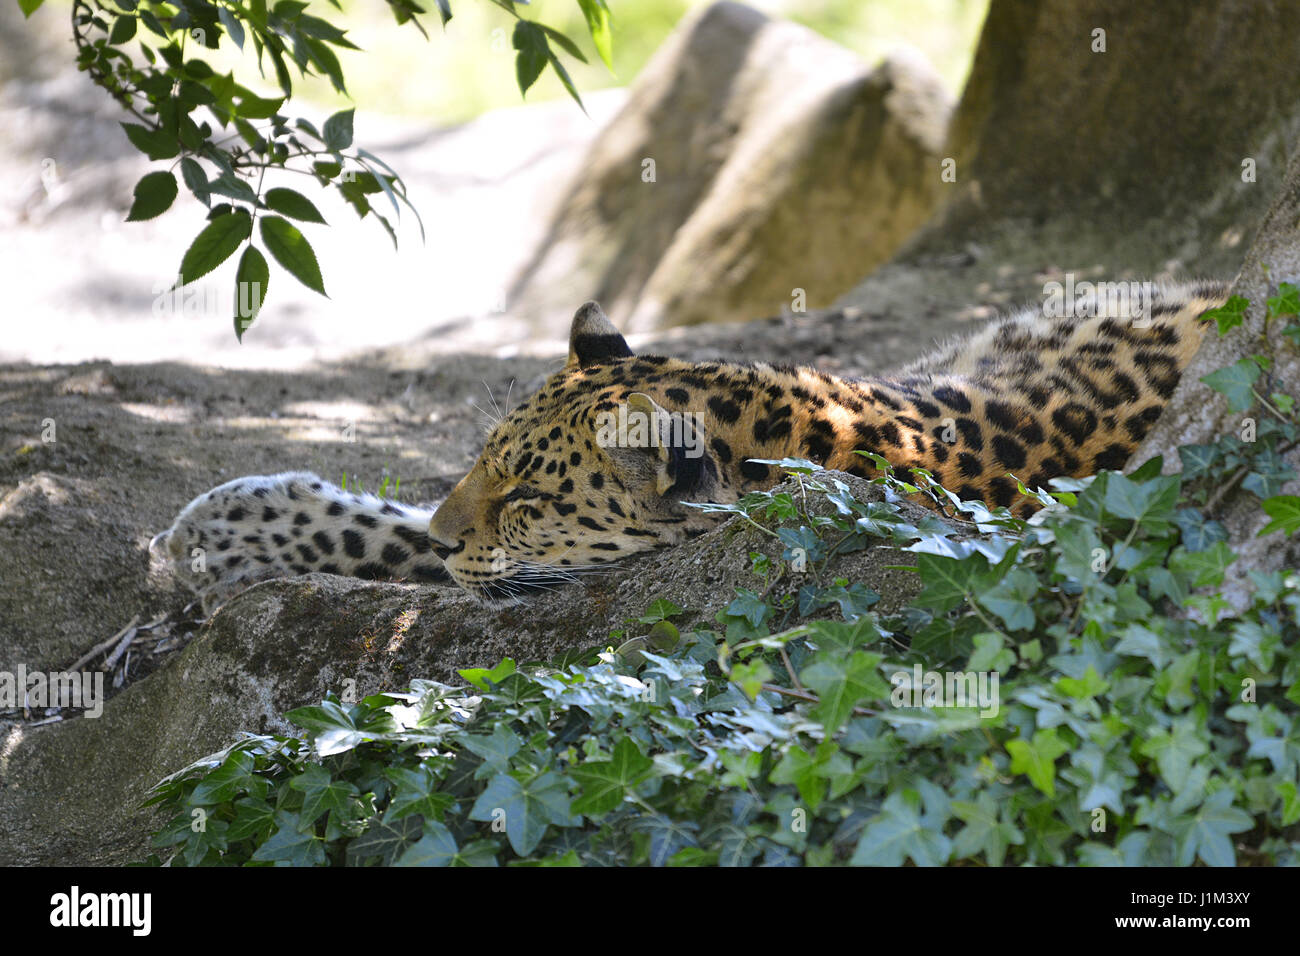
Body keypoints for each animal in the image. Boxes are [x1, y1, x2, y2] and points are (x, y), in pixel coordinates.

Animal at [150, 279, 1228, 608]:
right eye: (482, 456)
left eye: (529, 497)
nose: (459, 534)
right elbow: (399, 522)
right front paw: (219, 528)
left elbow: (419, 543)